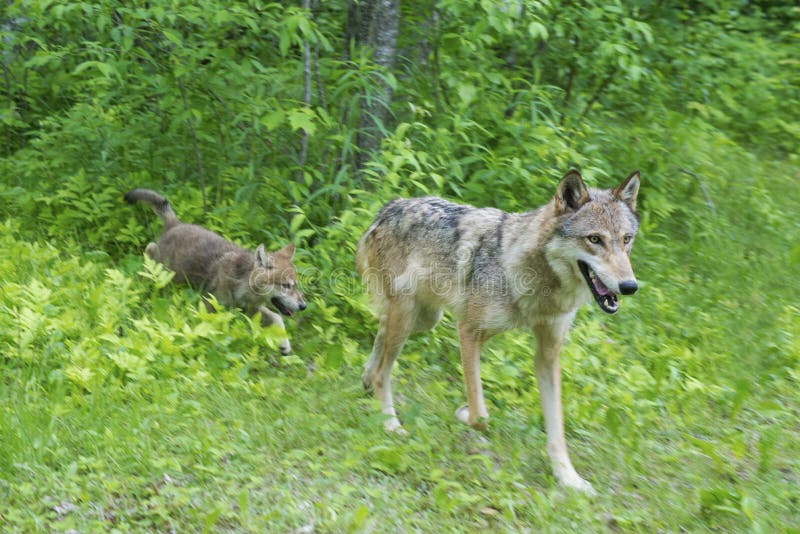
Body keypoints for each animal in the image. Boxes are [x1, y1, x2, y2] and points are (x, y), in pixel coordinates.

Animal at [125, 189, 306, 354]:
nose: (303, 306)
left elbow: (277, 318)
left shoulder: (250, 308)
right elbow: (209, 329)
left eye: (295, 285)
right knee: (149, 252)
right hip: (161, 267)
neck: (241, 282)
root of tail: (175, 223)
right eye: (286, 285)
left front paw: (284, 344)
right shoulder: (210, 306)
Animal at [355, 169, 640, 493]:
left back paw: (367, 380)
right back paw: (390, 423)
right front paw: (463, 412)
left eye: (626, 239)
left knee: (381, 331)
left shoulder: (548, 354)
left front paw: (568, 478)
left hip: (423, 318)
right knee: (384, 369)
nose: (630, 286)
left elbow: (557, 428)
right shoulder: (468, 331)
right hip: (411, 317)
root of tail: (389, 207)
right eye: (594, 239)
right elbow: (480, 414)